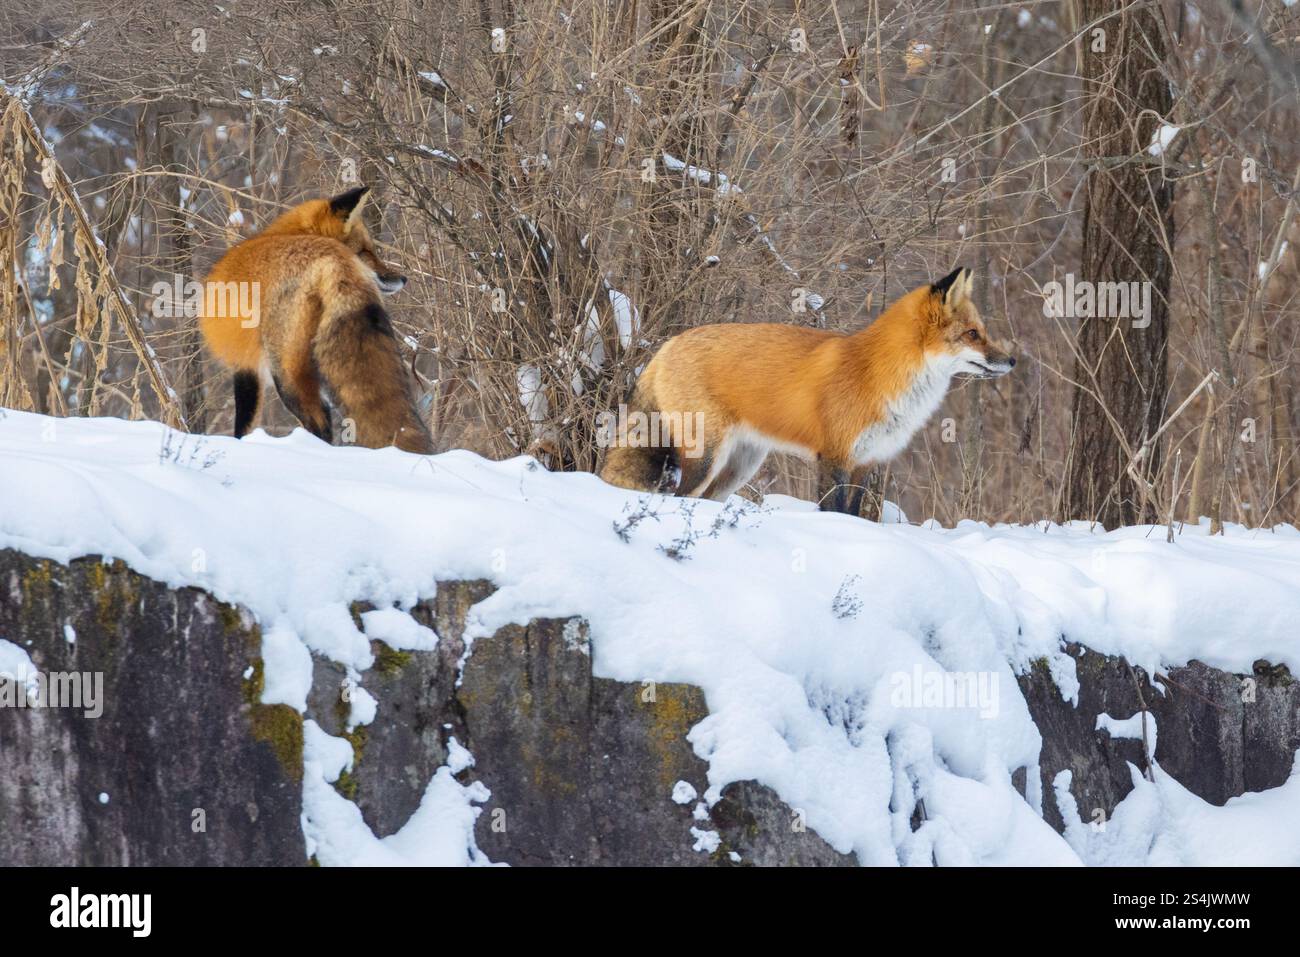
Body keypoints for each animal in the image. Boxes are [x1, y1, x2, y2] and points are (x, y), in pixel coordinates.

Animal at [198, 185, 434, 454]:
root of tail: (333, 259)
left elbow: (243, 426)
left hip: (286, 375)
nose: (404, 279)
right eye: (365, 252)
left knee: (318, 424)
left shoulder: (245, 365)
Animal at [599, 267, 1015, 512]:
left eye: (982, 332)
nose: (1011, 362)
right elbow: (833, 513)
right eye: (972, 335)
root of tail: (668, 345)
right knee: (681, 497)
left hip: (741, 466)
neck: (881, 375)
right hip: (706, 455)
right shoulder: (834, 458)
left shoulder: (866, 462)